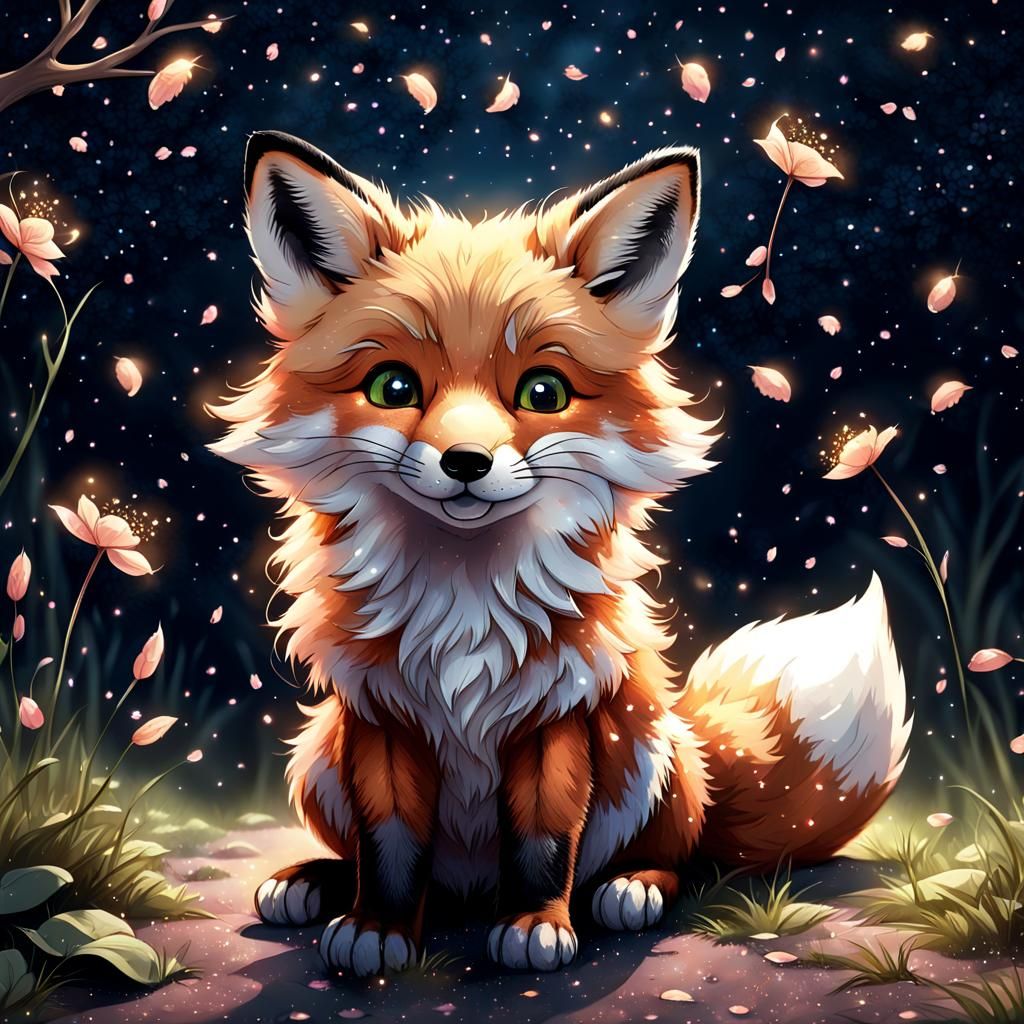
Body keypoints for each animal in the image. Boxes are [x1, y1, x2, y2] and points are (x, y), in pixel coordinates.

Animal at [209, 130, 911, 976]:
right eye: (392, 387)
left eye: (543, 392)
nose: (467, 462)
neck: (462, 601)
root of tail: (467, 890)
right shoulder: (381, 714)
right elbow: (389, 844)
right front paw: (378, 928)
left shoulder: (557, 708)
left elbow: (544, 841)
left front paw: (536, 924)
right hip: (318, 756)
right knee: (371, 856)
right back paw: (314, 882)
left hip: (651, 752)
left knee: (678, 855)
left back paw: (631, 888)